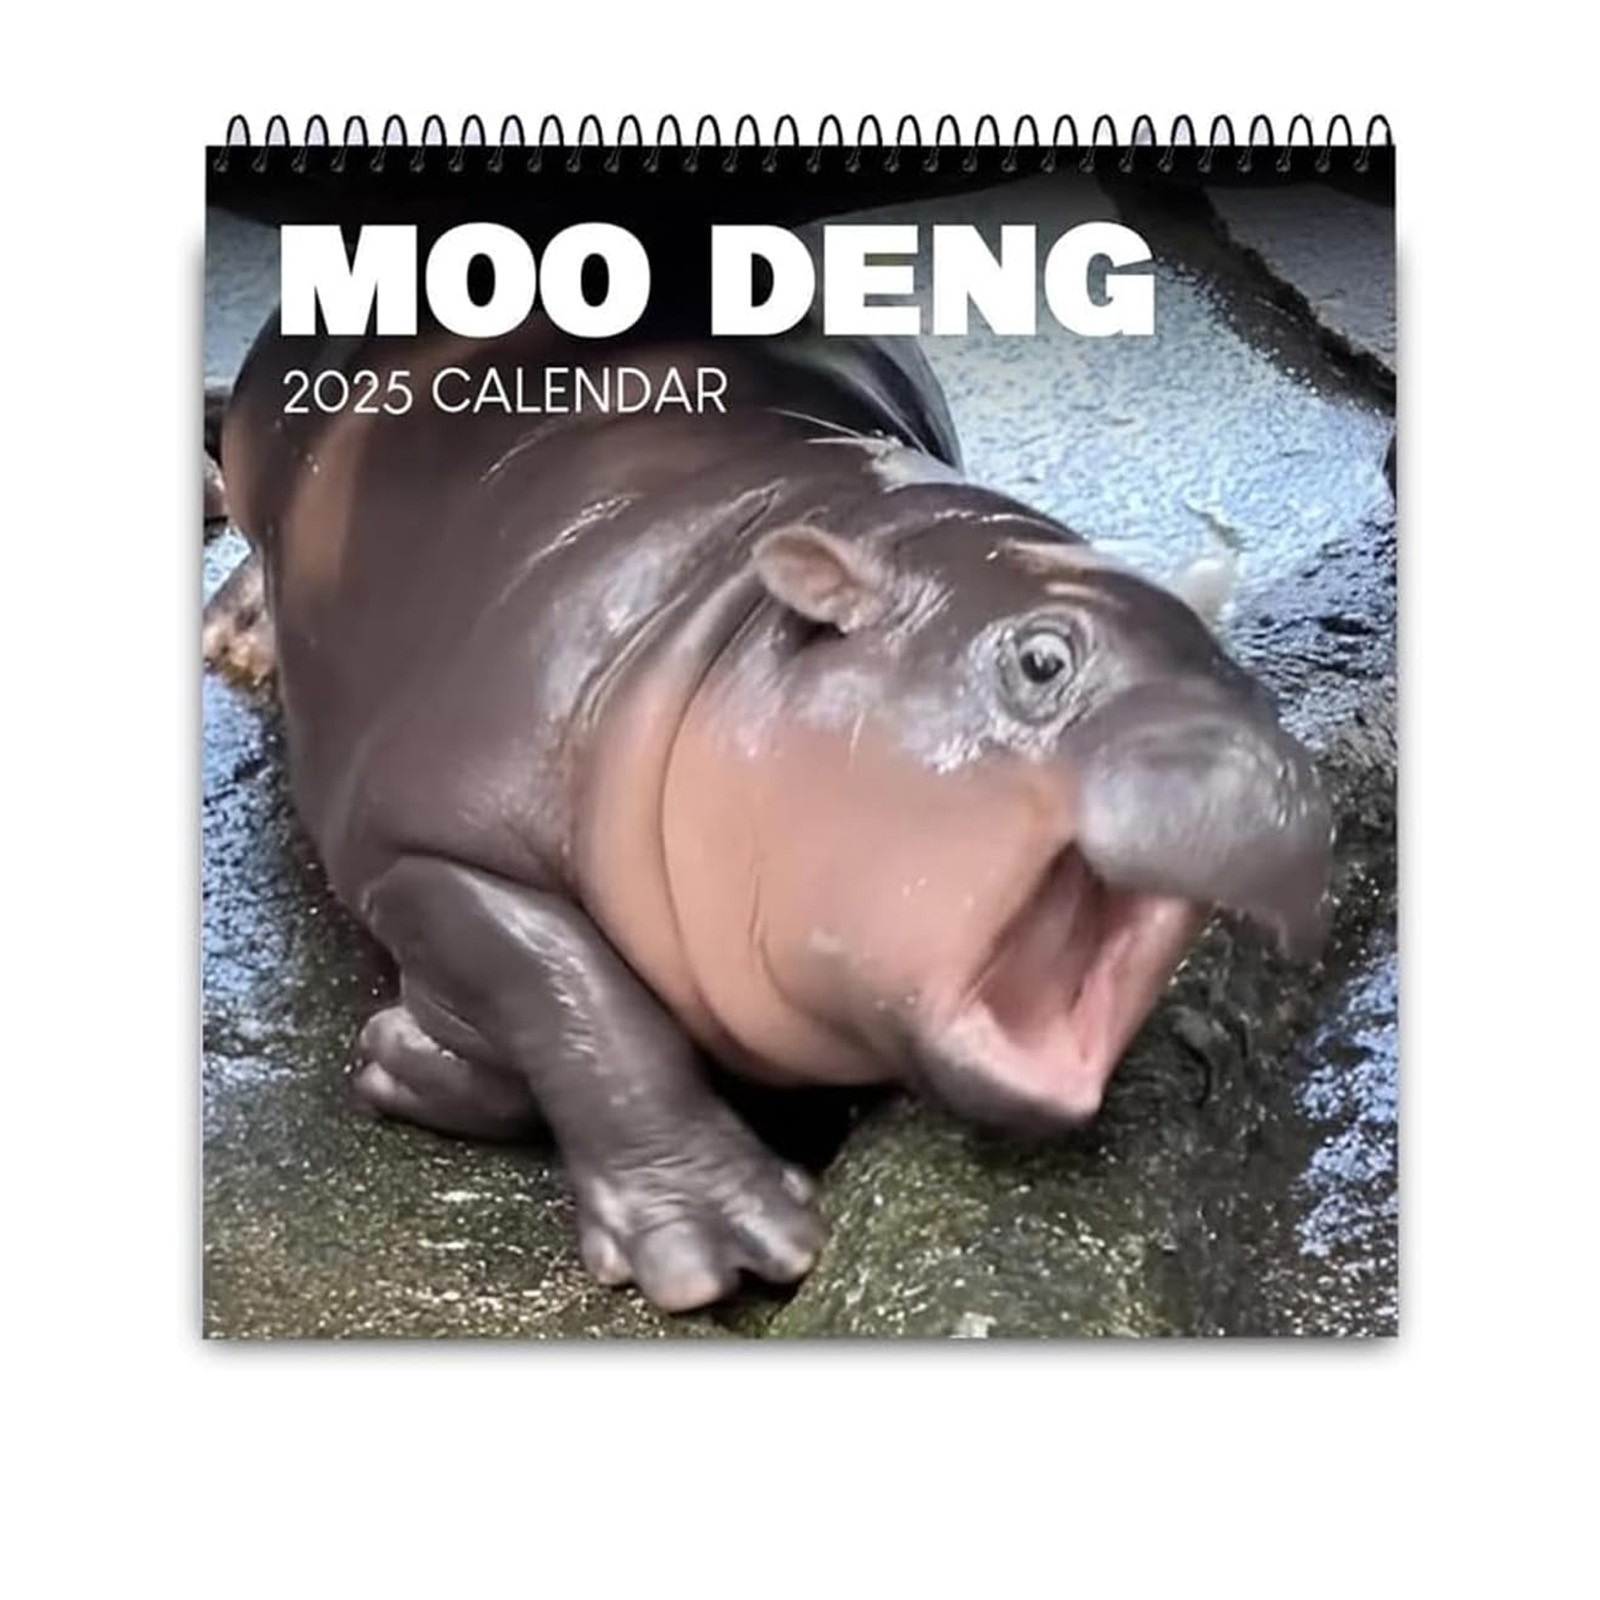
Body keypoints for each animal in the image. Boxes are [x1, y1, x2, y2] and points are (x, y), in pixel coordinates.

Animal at [209, 311, 1332, 1312]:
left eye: (1238, 671)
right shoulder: (425, 842)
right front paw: (721, 1243)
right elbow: (574, 988)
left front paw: (412, 1058)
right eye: (1042, 658)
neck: (732, 608)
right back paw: (242, 637)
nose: (1274, 772)